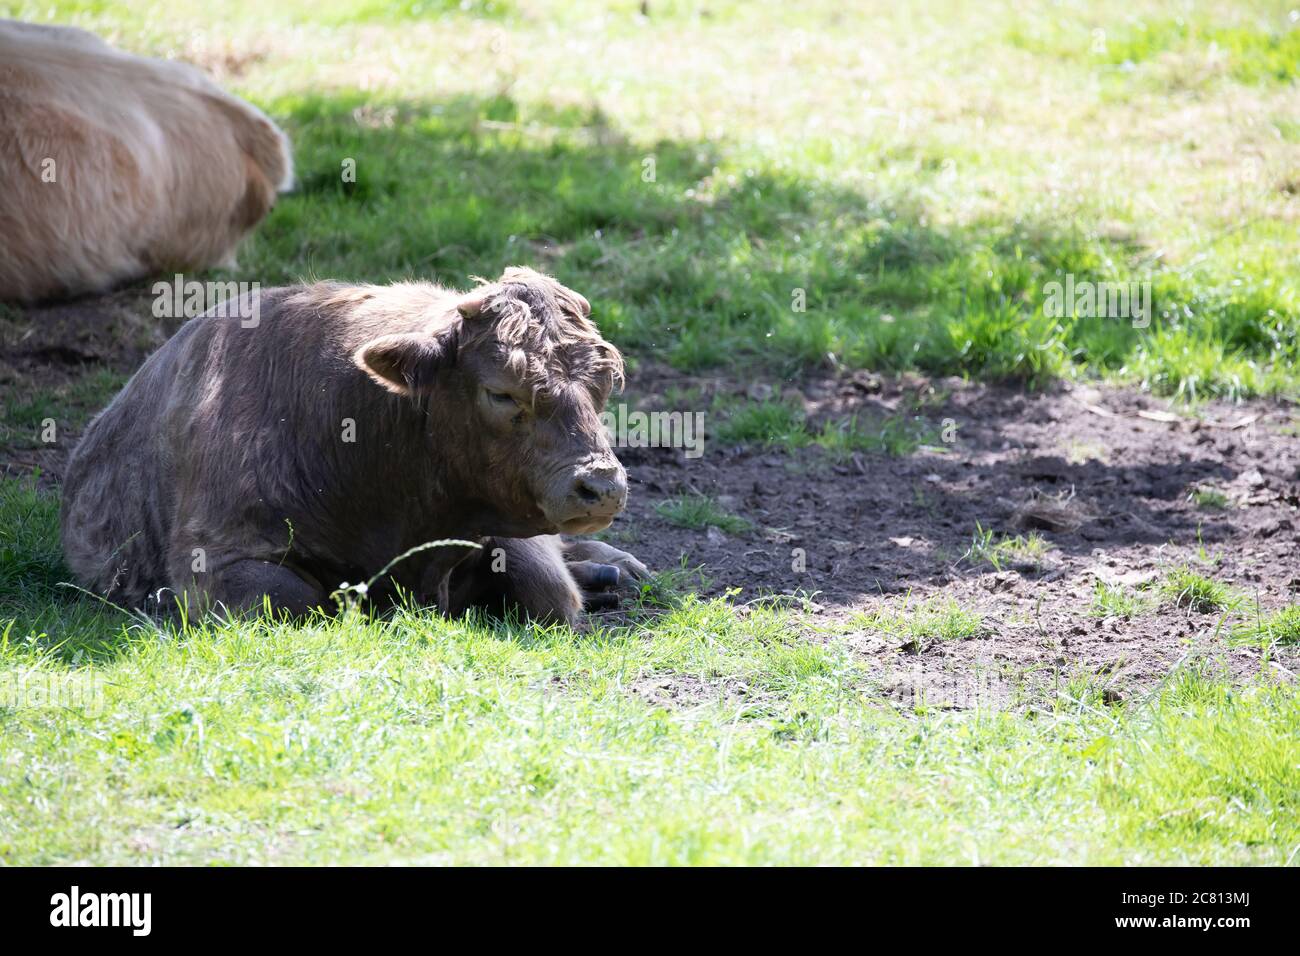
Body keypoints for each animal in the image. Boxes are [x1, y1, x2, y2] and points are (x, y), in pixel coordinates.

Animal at [60, 267, 648, 627]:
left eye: (605, 383)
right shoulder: (217, 559)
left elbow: (547, 589)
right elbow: (294, 600)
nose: (602, 487)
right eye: (501, 392)